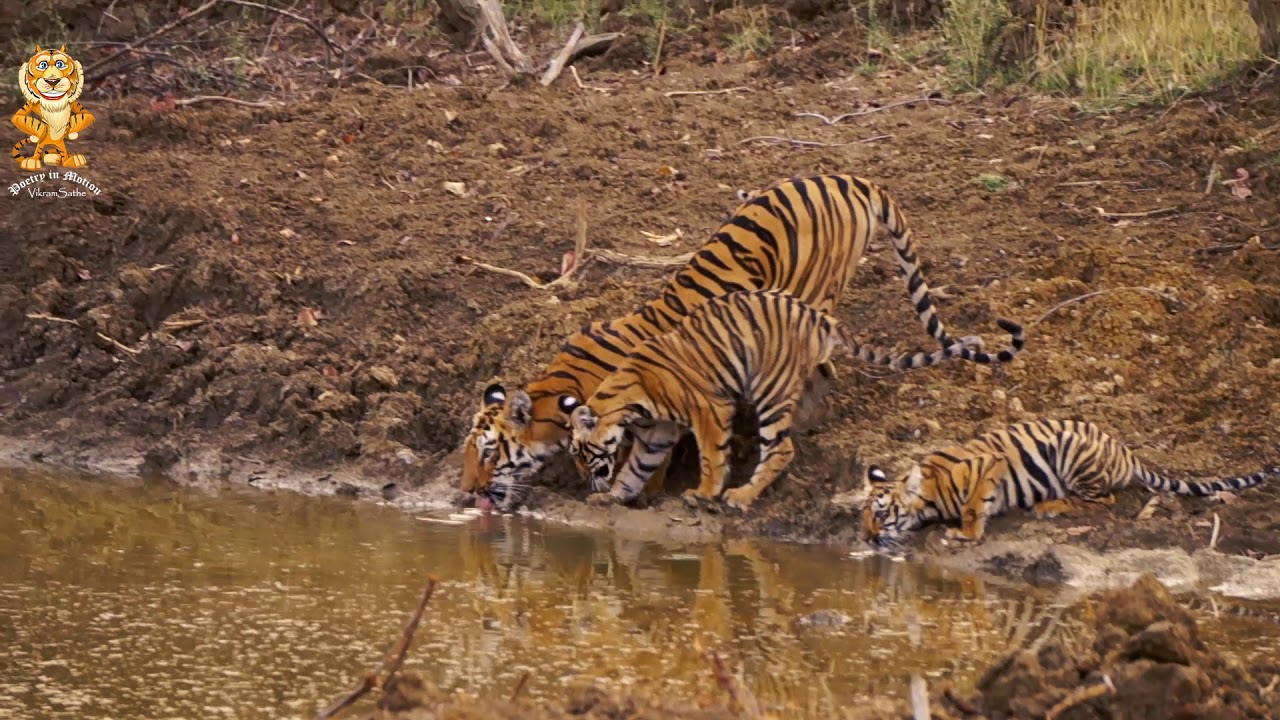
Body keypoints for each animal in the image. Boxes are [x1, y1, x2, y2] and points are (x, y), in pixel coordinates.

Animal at [564, 290, 1025, 512]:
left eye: (584, 454)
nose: (582, 480)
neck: (629, 405)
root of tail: (818, 315)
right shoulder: (656, 432)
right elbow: (635, 469)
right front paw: (612, 496)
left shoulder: (710, 409)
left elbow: (712, 457)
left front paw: (704, 493)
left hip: (769, 388)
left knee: (782, 449)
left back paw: (742, 496)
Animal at [859, 418, 1278, 550]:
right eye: (862, 516)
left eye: (881, 514)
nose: (865, 537)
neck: (928, 497)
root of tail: (1125, 451)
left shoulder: (988, 465)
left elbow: (974, 507)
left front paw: (965, 534)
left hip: (1072, 454)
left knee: (1103, 501)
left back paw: (1049, 507)